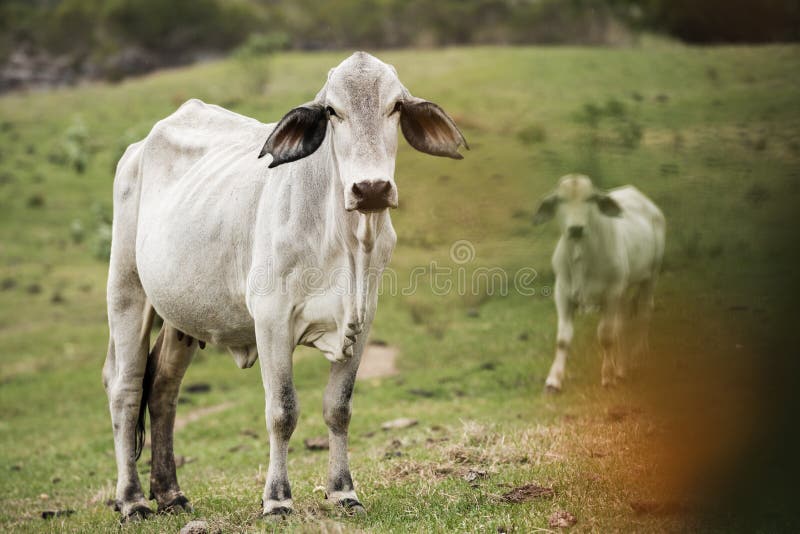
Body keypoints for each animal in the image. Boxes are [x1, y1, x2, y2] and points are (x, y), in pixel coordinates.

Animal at [102, 51, 468, 521]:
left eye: (396, 107)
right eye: (332, 111)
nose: (371, 189)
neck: (347, 242)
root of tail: (138, 148)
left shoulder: (363, 321)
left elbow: (339, 407)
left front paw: (343, 491)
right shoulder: (272, 319)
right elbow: (282, 410)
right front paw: (277, 498)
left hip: (180, 315)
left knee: (163, 388)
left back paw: (171, 494)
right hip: (126, 288)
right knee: (126, 388)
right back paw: (132, 500)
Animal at [532, 174, 665, 391]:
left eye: (591, 199)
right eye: (560, 199)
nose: (576, 229)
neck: (581, 256)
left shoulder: (611, 293)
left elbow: (606, 335)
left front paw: (608, 375)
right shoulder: (562, 292)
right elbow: (563, 339)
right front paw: (554, 380)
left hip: (651, 275)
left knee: (644, 312)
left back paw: (637, 357)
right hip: (624, 289)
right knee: (621, 323)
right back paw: (621, 368)